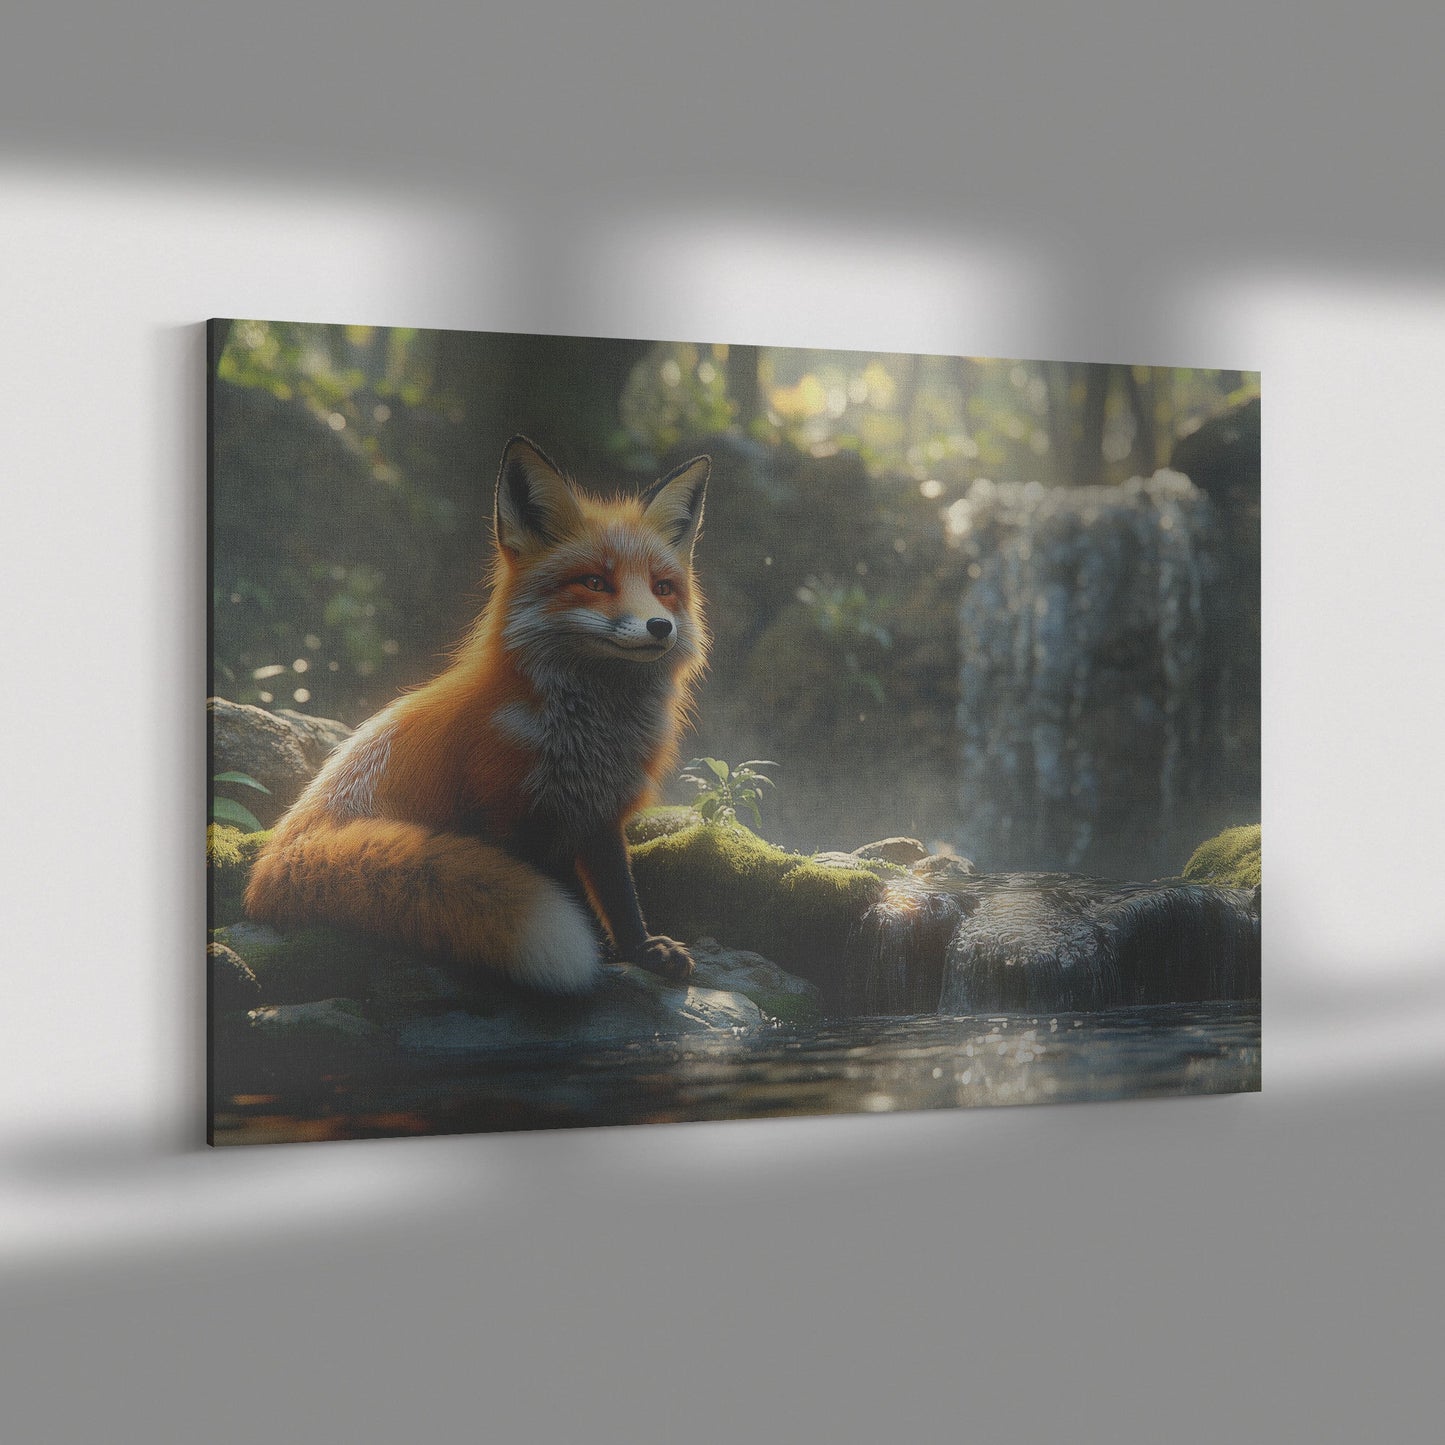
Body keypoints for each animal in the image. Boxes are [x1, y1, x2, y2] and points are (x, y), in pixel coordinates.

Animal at [244, 435, 711, 992]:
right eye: (596, 582)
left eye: (663, 587)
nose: (660, 627)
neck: (583, 733)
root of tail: (276, 856)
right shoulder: (505, 815)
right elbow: (556, 887)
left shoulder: (599, 811)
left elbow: (621, 896)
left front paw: (642, 950)